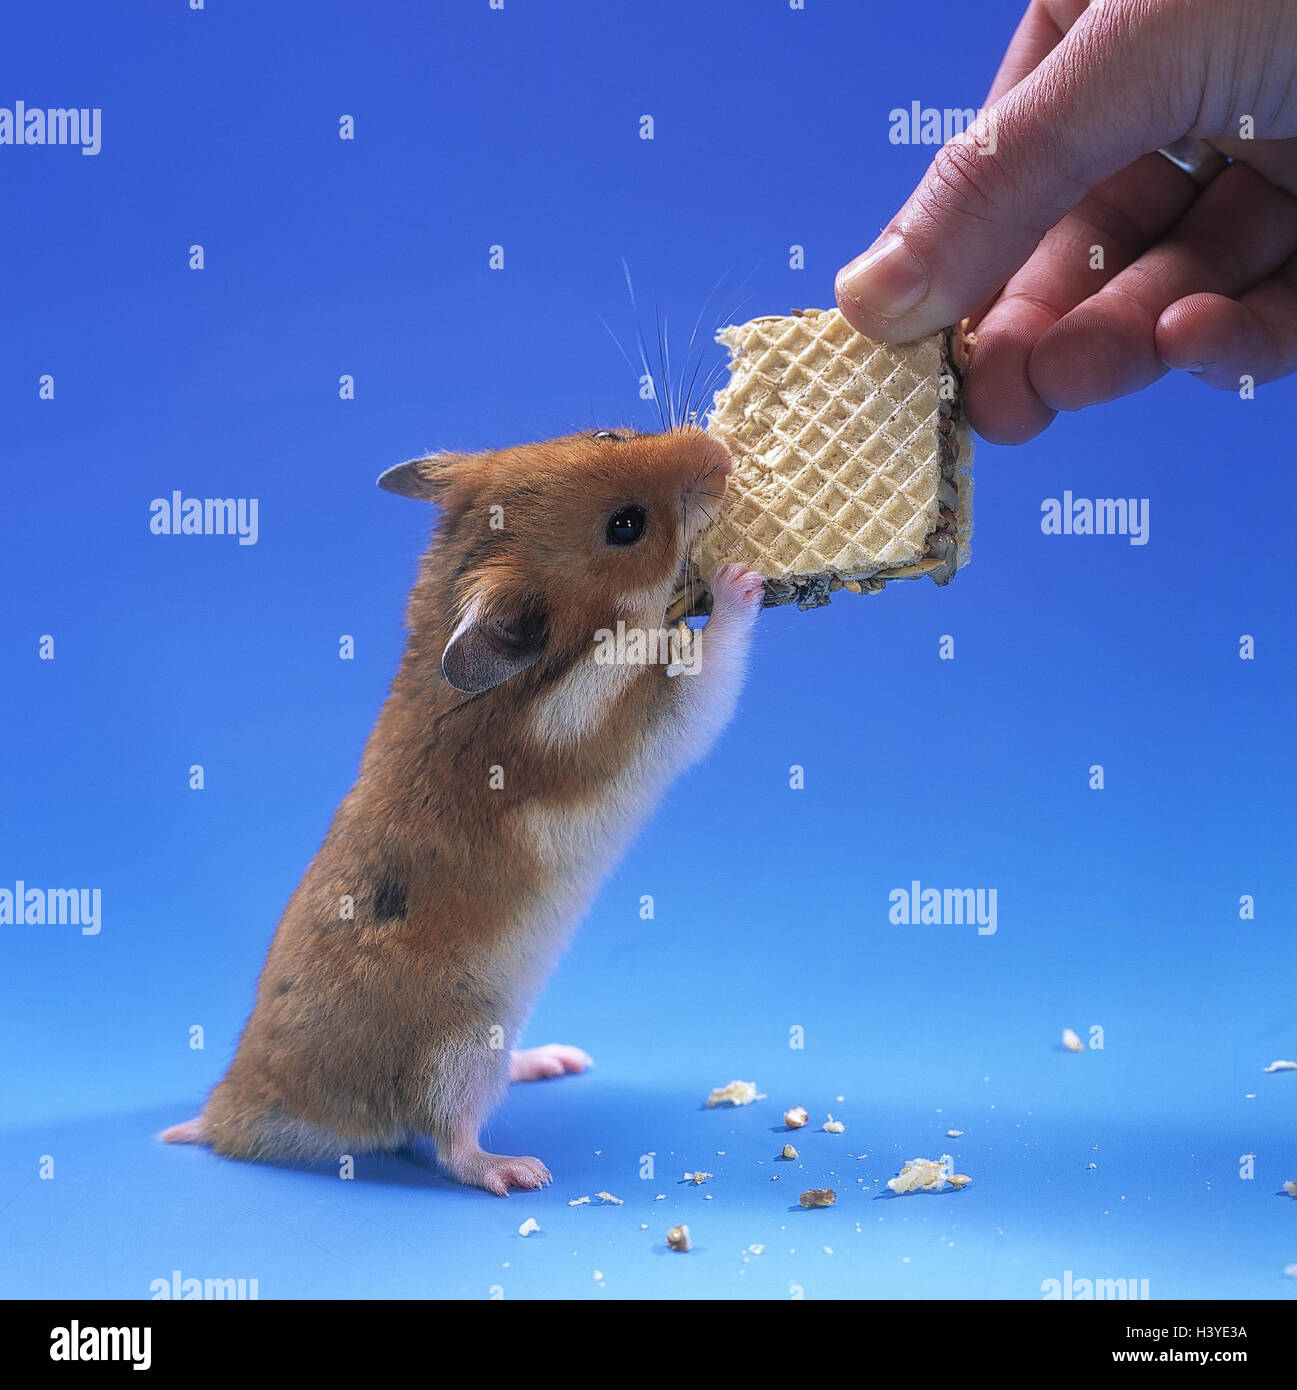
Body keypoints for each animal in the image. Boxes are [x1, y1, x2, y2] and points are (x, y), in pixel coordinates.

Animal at [162, 425, 763, 1194]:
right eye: (625, 526)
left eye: (609, 433)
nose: (719, 452)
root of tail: (234, 1117)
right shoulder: (648, 714)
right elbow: (710, 667)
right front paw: (739, 580)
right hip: (455, 1049)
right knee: (448, 1142)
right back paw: (518, 1169)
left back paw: (557, 1059)